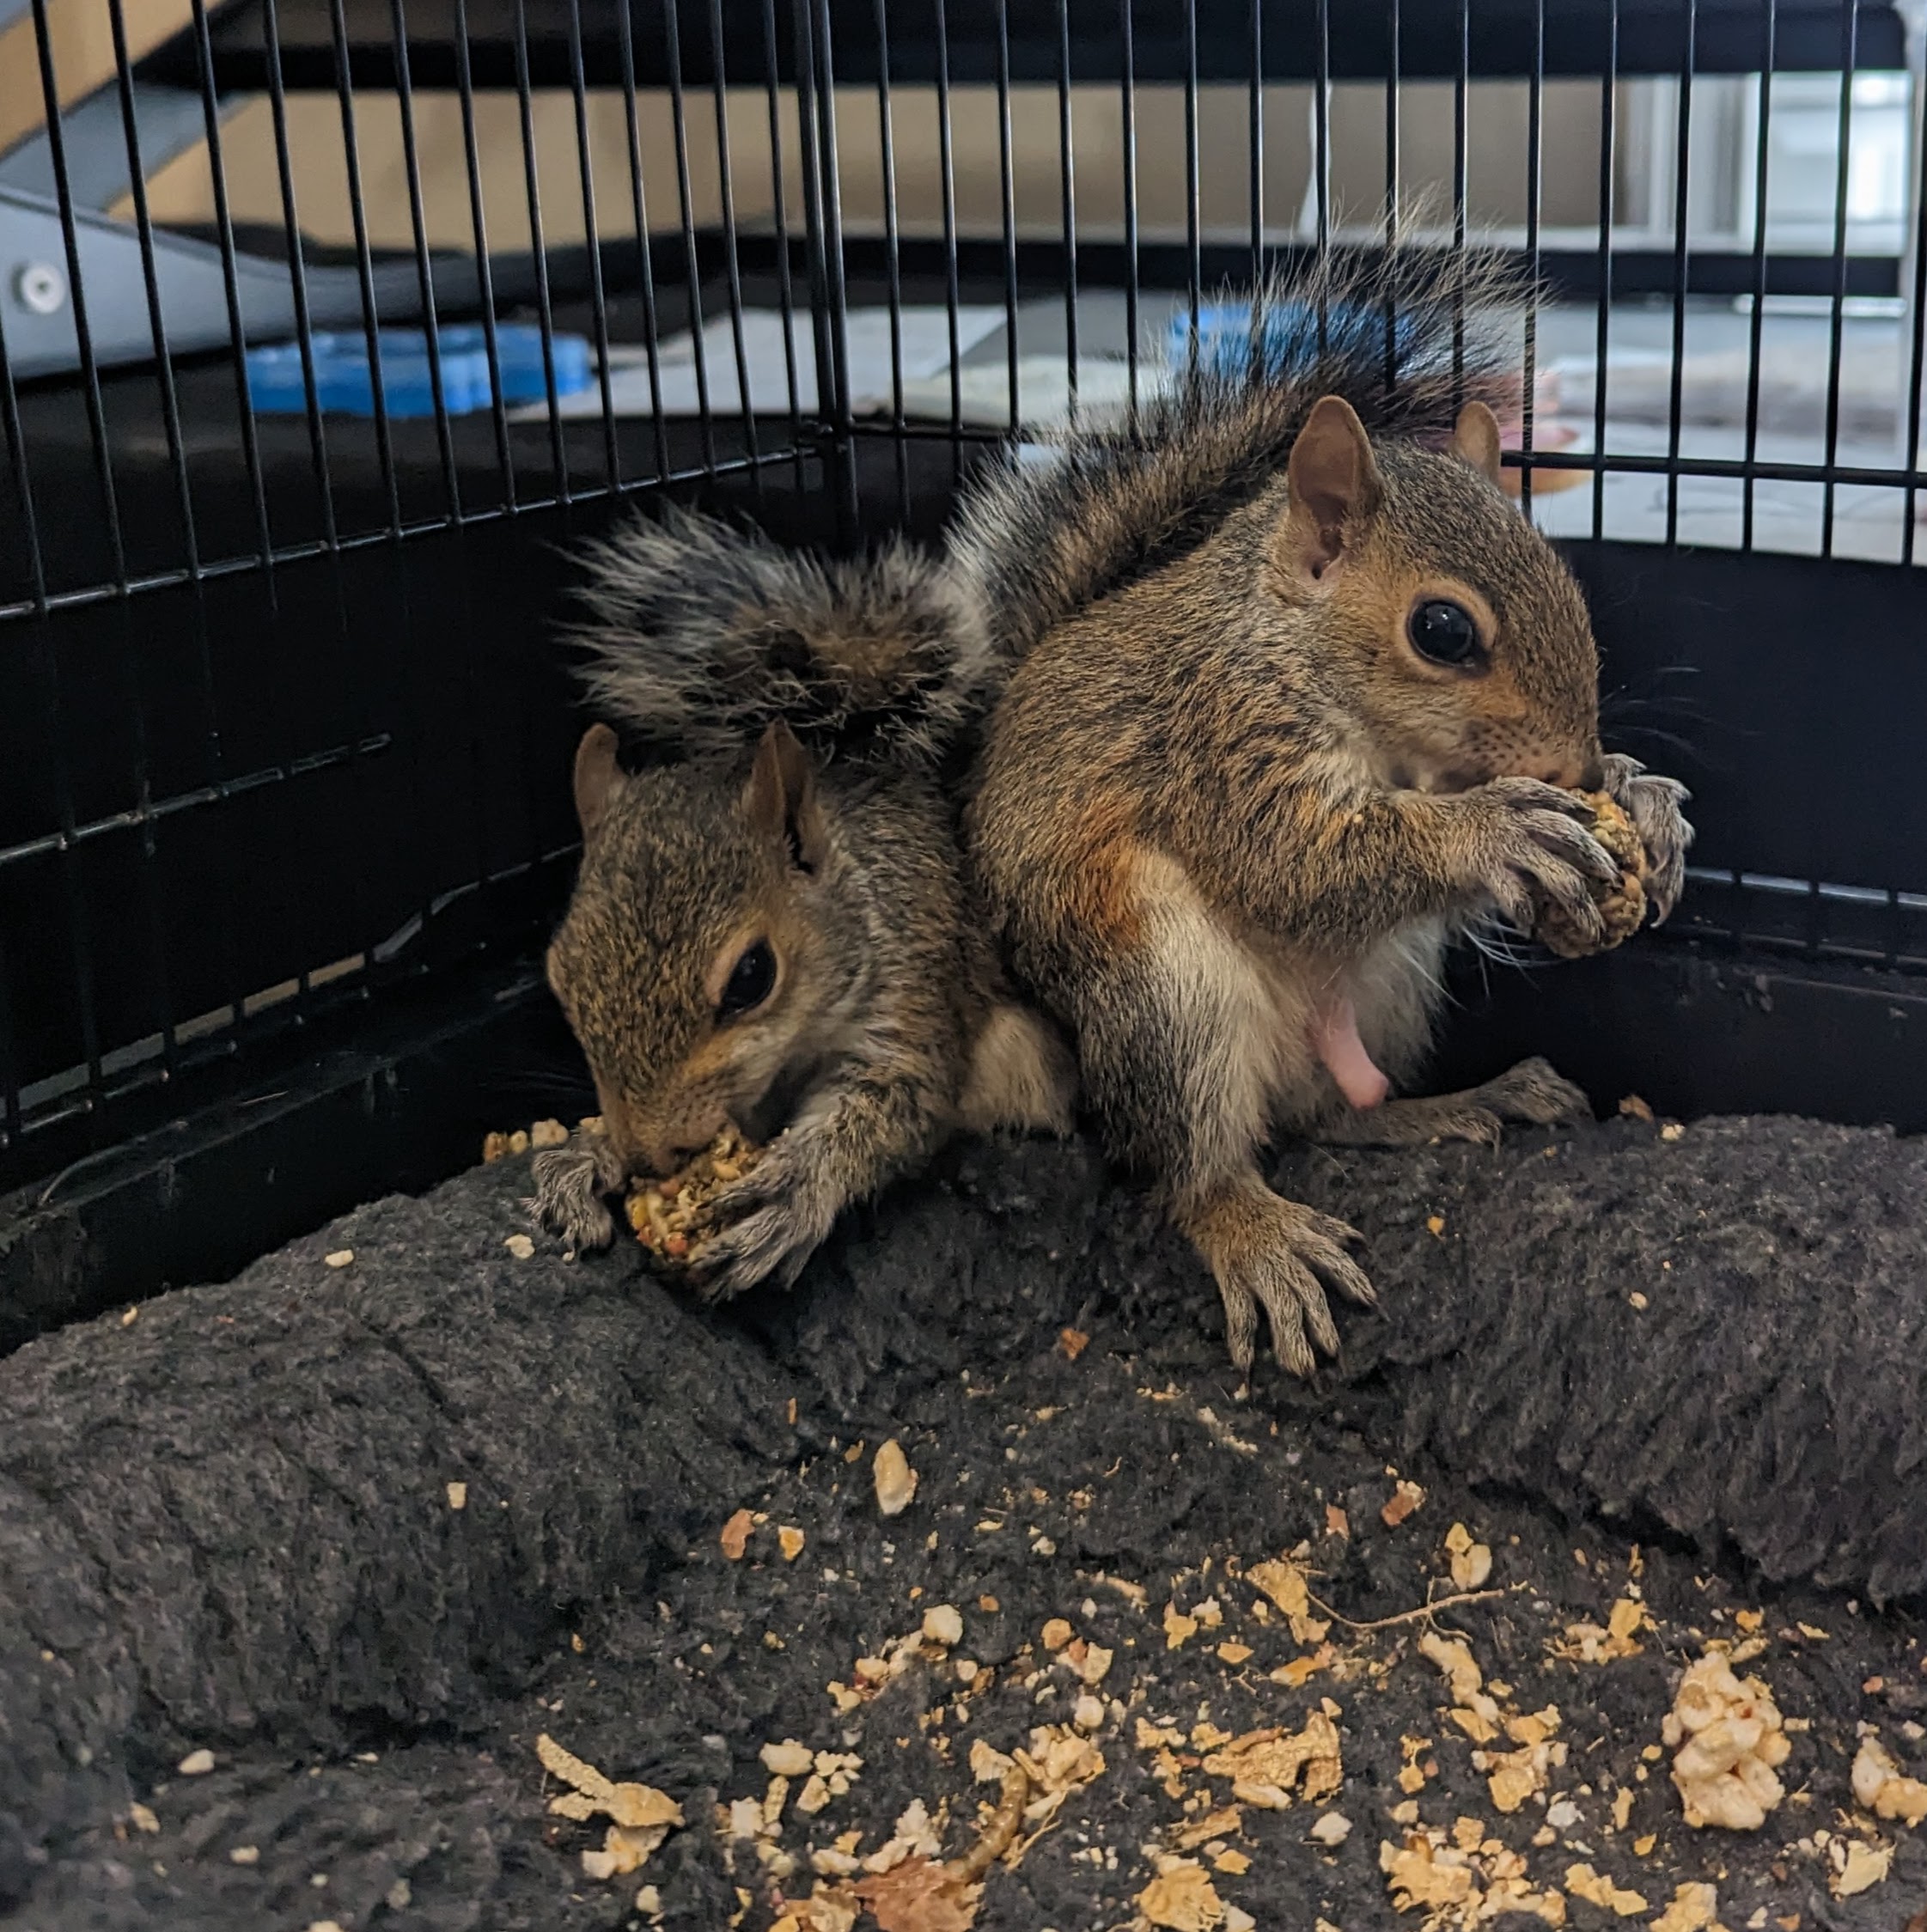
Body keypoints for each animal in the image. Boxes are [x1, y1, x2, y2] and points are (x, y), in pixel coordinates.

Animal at [532, 506, 1075, 1295]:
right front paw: (586, 1157)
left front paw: (792, 1192)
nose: (648, 1157)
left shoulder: (912, 986)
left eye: (752, 977)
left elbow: (895, 1103)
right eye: (558, 976)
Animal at [951, 246, 1694, 1377]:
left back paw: (1451, 1106)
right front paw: (1499, 831)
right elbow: (1292, 861)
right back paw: (1254, 1236)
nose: (1570, 763)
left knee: (1320, 1117)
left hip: (1389, 983)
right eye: (1441, 630)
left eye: (1565, 580)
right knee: (1191, 1164)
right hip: (1161, 987)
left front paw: (1641, 801)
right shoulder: (1217, 735)